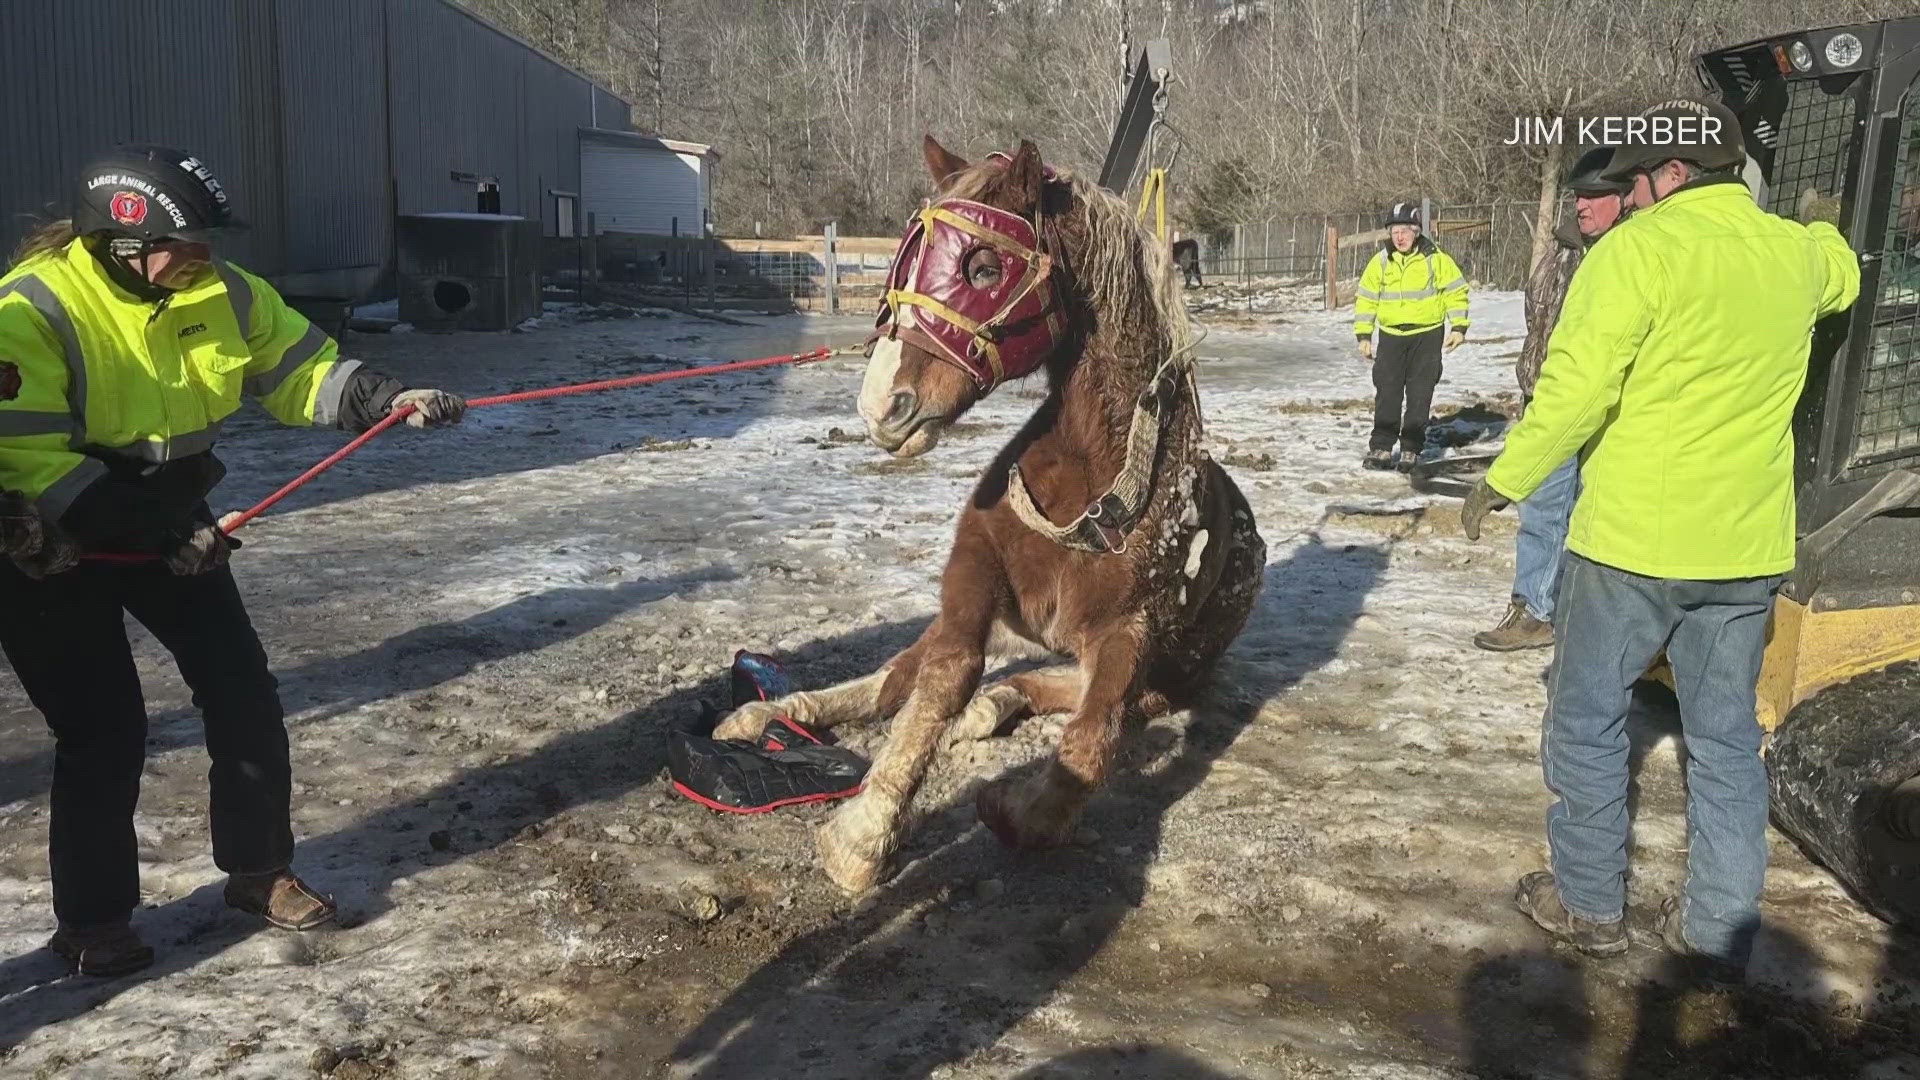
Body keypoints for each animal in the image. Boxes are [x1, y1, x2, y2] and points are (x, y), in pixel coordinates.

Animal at [712, 137, 1267, 894]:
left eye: (983, 268)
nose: (882, 405)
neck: (1093, 484)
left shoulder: (1131, 631)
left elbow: (1093, 735)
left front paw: (1014, 809)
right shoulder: (972, 580)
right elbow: (939, 679)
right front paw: (863, 833)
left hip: (1176, 670)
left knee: (1083, 694)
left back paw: (995, 704)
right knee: (894, 678)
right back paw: (769, 711)